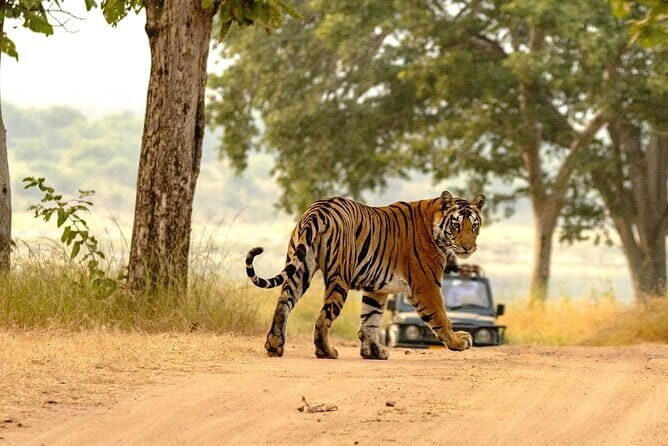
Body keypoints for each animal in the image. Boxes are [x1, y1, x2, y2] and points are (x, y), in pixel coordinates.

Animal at [245, 191, 485, 360]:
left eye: (474, 225)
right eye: (456, 225)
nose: (468, 247)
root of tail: (318, 209)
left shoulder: (377, 287)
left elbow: (371, 319)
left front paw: (374, 352)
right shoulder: (425, 285)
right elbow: (441, 316)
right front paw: (458, 342)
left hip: (300, 268)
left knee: (283, 303)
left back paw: (275, 345)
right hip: (339, 277)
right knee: (323, 318)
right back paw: (326, 352)